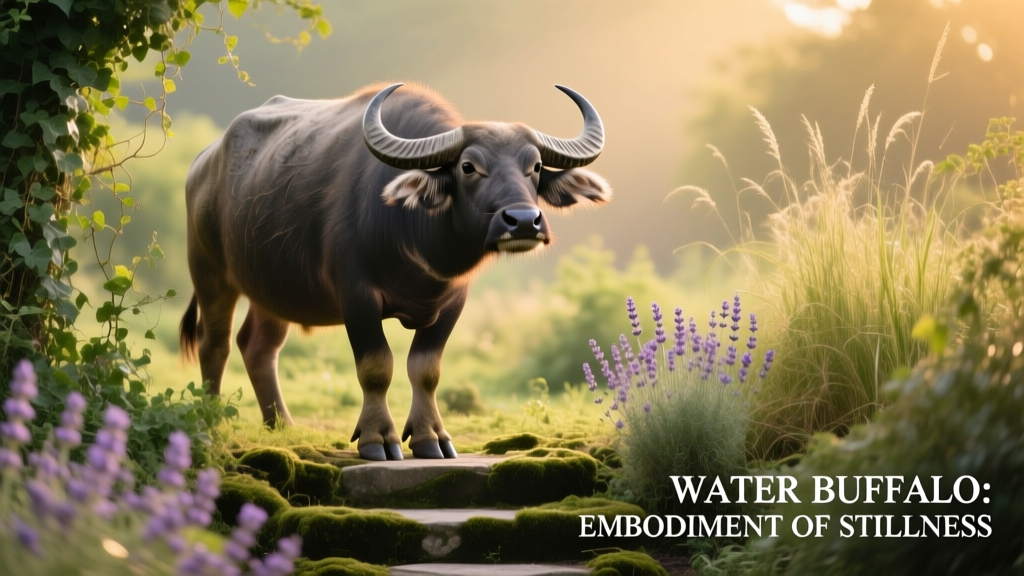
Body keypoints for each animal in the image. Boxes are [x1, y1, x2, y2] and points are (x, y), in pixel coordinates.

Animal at [180, 82, 610, 460]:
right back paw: (211, 422)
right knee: (214, 343)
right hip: (210, 272)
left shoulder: (453, 302)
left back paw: (282, 426)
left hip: (274, 287)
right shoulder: (356, 297)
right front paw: (377, 440)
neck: (418, 240)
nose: (523, 221)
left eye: (535, 166)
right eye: (468, 166)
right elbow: (376, 367)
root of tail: (204, 162)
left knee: (258, 345)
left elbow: (426, 370)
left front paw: (431, 438)